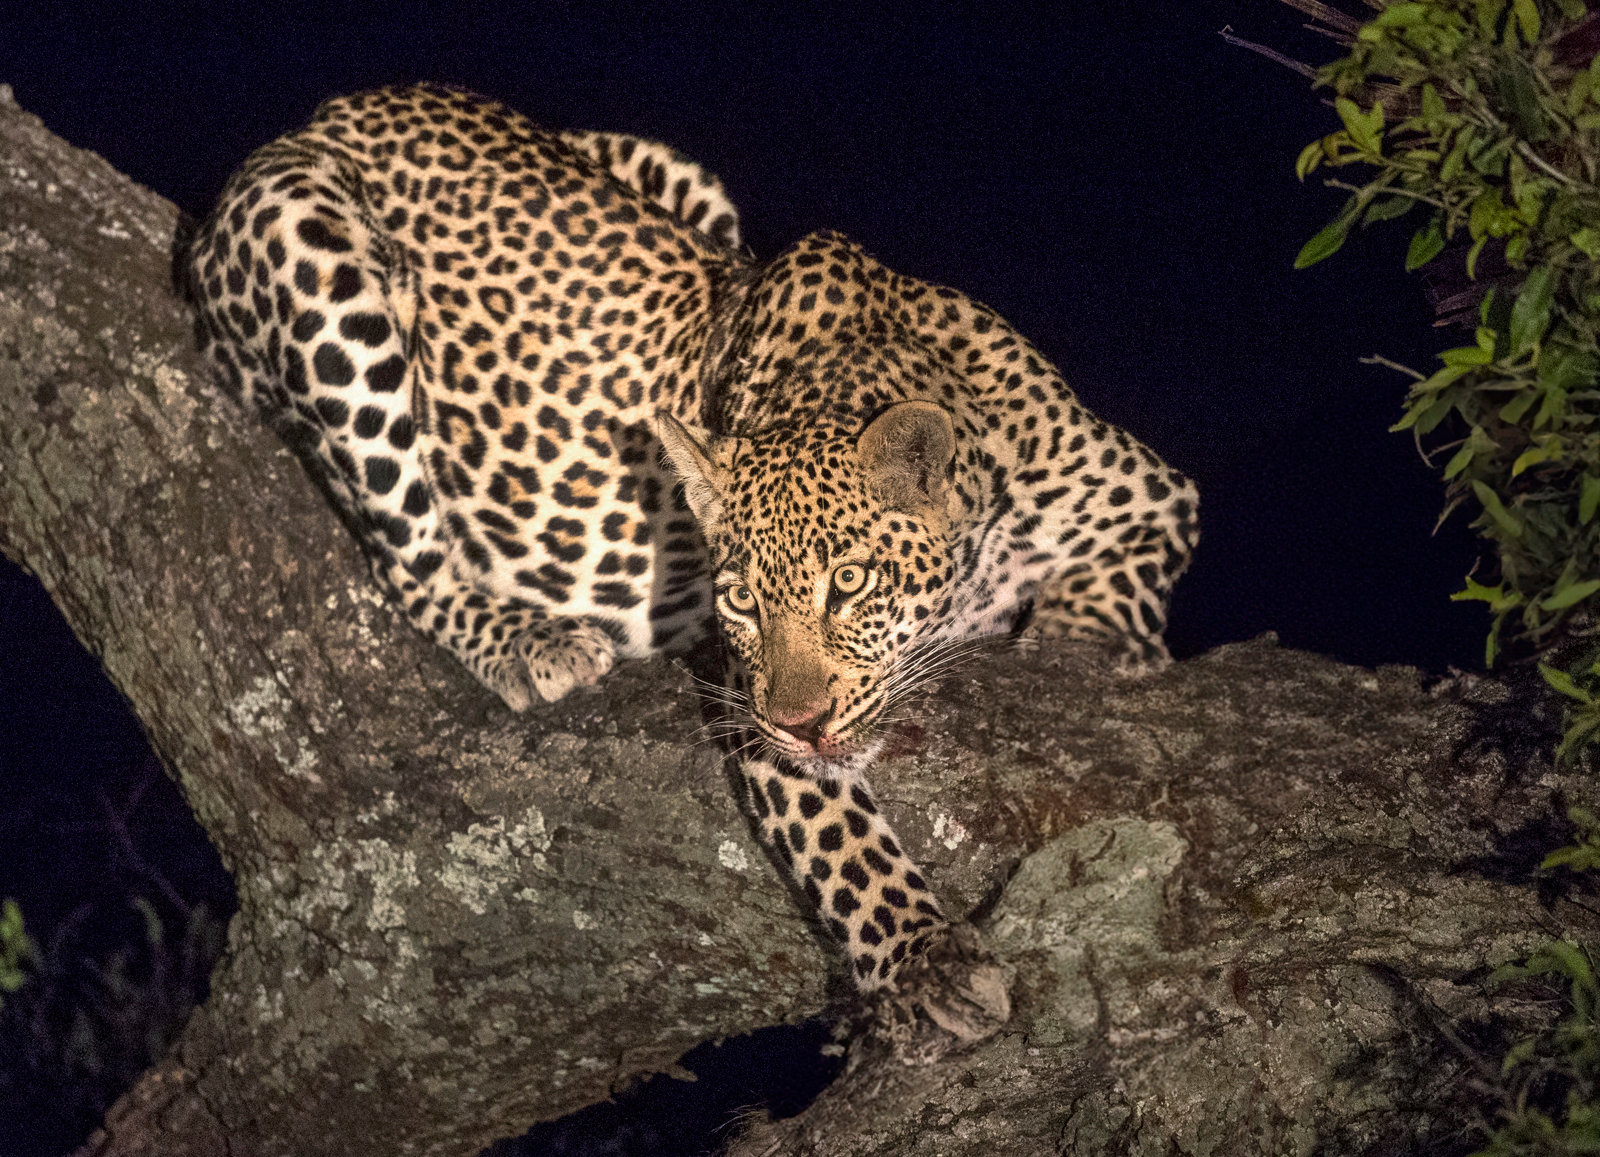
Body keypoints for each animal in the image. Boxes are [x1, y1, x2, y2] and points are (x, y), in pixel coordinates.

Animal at [185, 83, 1198, 1005]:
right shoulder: (739, 692)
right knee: (406, 557)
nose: (800, 721)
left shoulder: (1157, 495)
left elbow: (1119, 578)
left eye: (850, 581)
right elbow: (839, 837)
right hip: (310, 252)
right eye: (742, 599)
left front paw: (1092, 640)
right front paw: (921, 956)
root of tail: (326, 112)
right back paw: (528, 640)